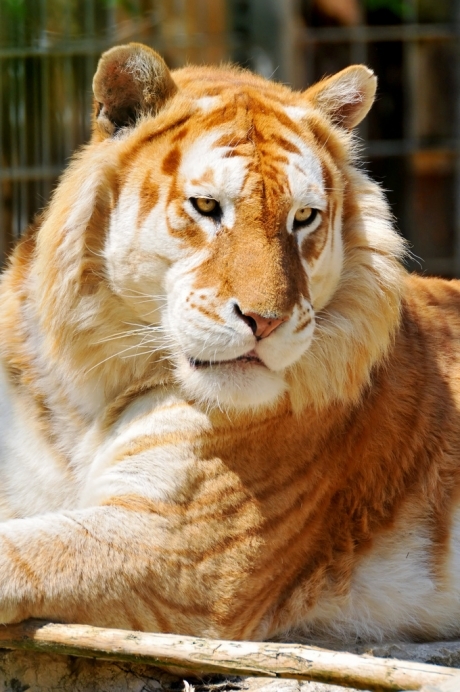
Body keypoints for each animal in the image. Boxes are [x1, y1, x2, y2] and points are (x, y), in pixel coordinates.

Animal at [0, 41, 459, 646]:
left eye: (303, 216)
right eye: (206, 207)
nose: (265, 321)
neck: (89, 379)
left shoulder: (184, 550)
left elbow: (19, 552)